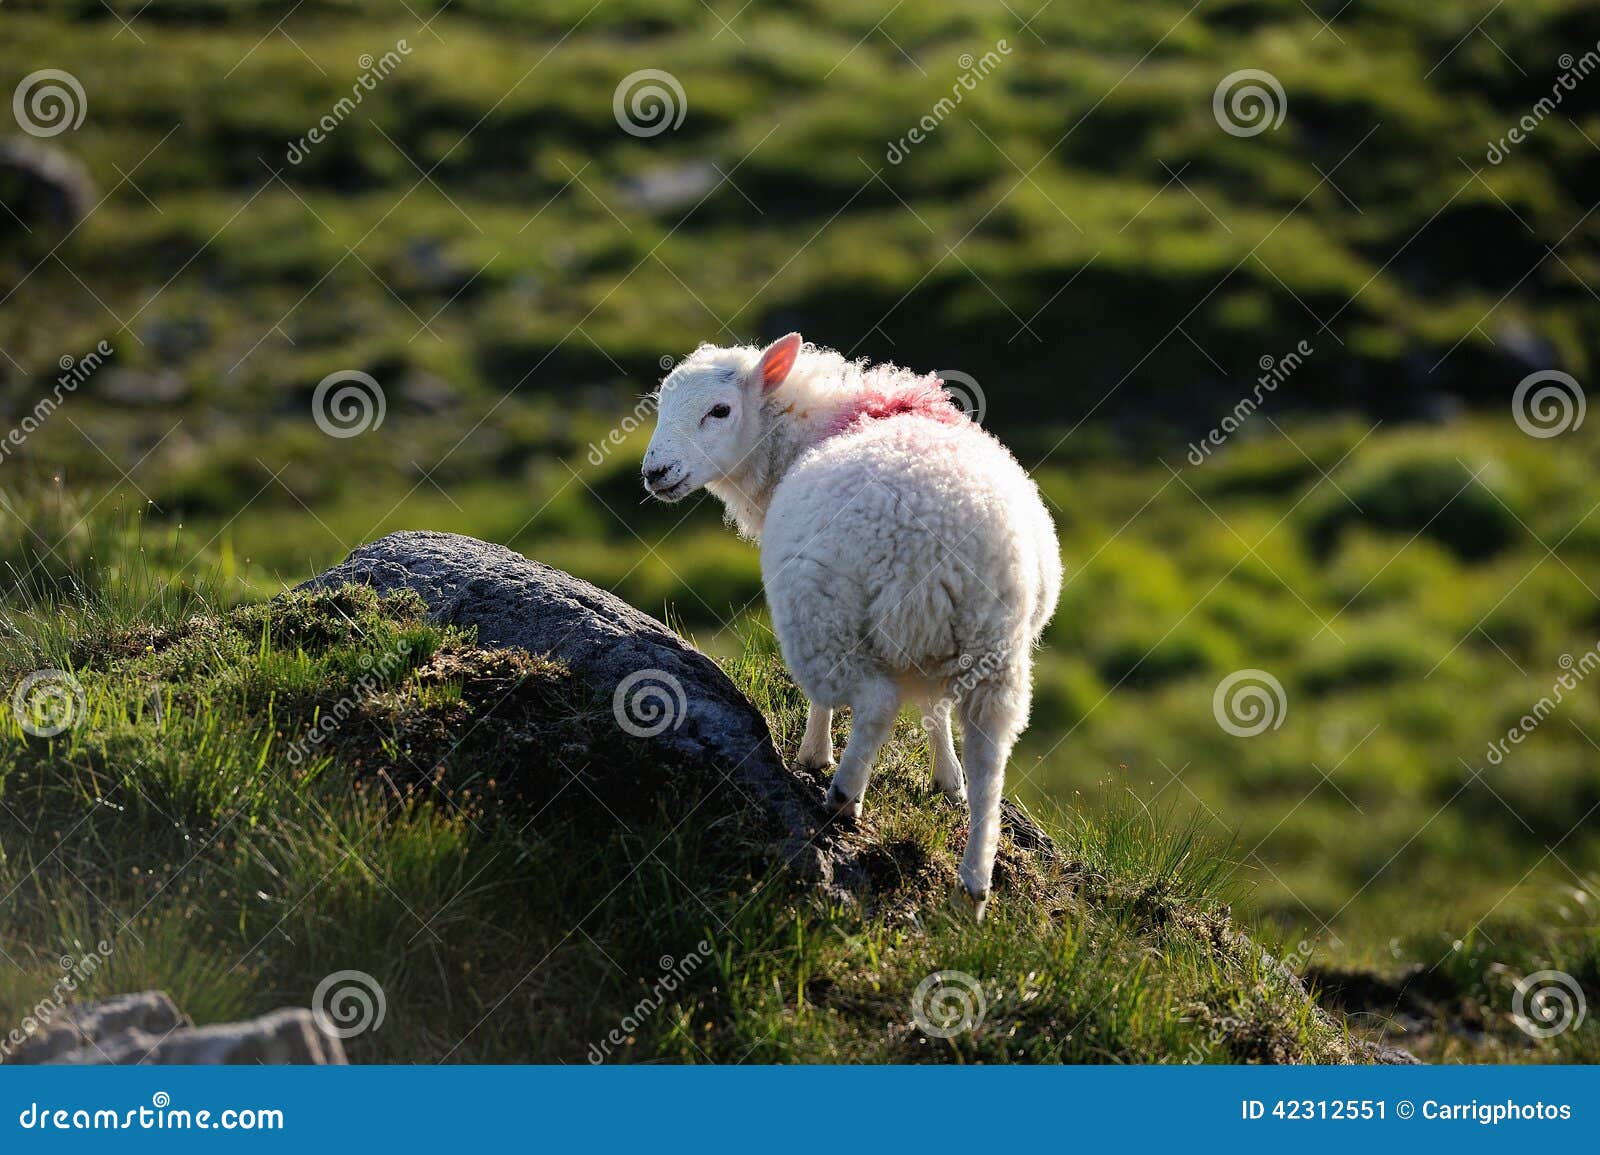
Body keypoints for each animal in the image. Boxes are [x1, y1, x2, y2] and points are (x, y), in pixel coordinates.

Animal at [642, 333, 1062, 919]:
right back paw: (975, 884)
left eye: (719, 411)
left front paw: (815, 752)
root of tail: (936, 549)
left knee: (875, 702)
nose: (654, 473)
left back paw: (843, 794)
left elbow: (831, 706)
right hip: (994, 649)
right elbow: (934, 711)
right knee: (989, 761)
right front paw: (946, 776)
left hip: (824, 616)